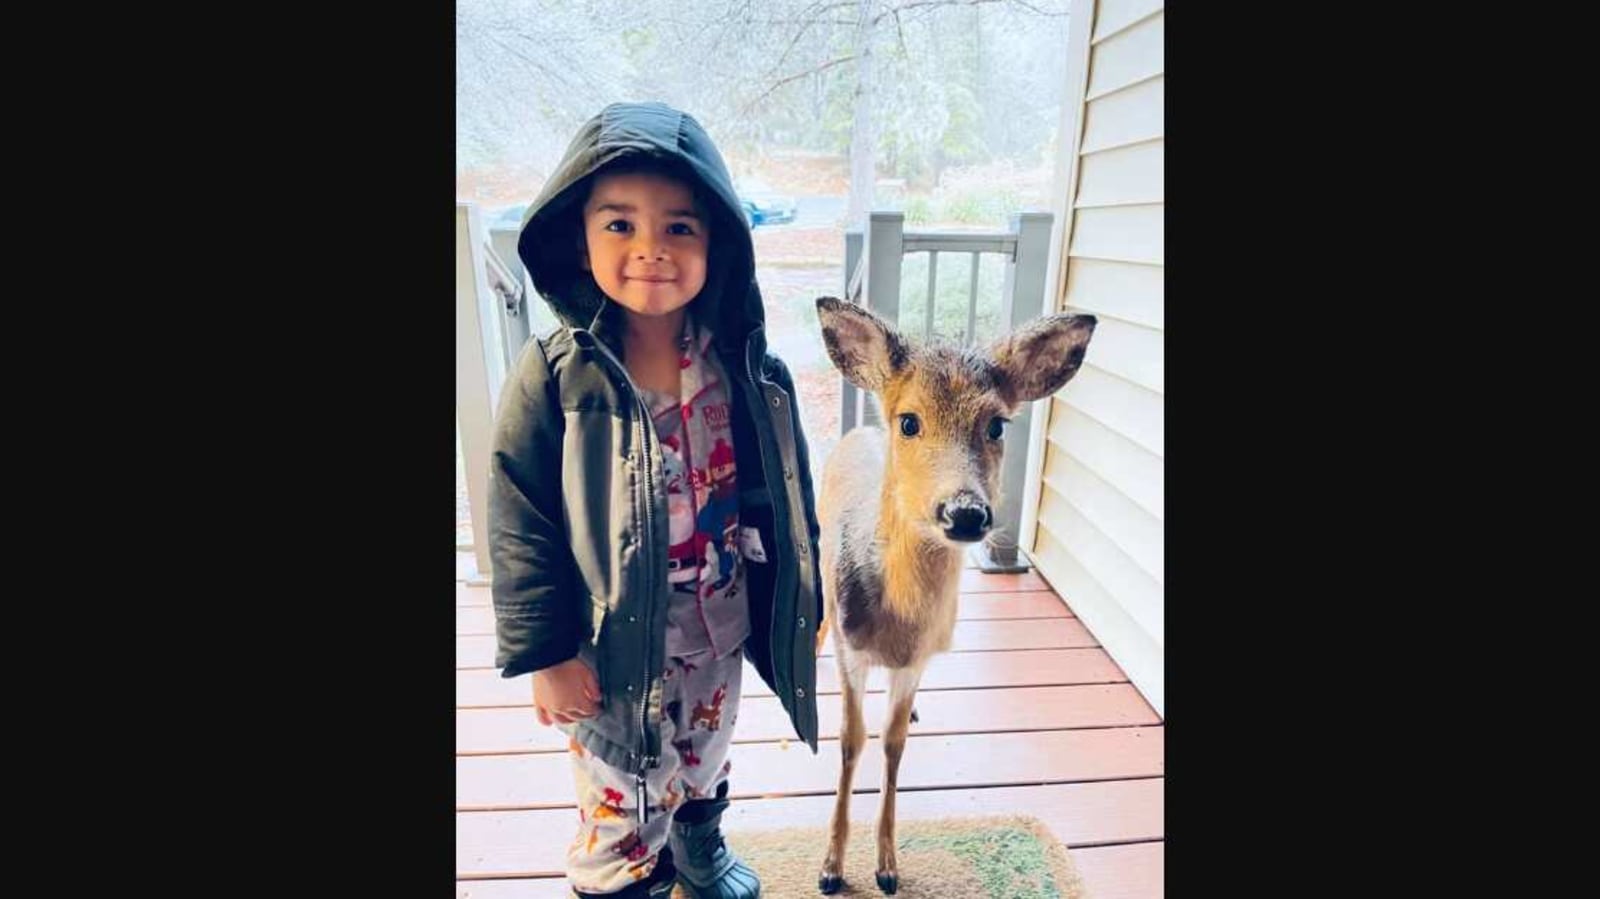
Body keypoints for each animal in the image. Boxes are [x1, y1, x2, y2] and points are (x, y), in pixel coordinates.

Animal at [810, 296, 1096, 895]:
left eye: (997, 423)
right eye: (909, 421)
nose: (964, 512)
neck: (897, 625)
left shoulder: (918, 659)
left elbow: (893, 743)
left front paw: (887, 866)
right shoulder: (853, 647)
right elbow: (851, 740)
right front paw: (831, 868)